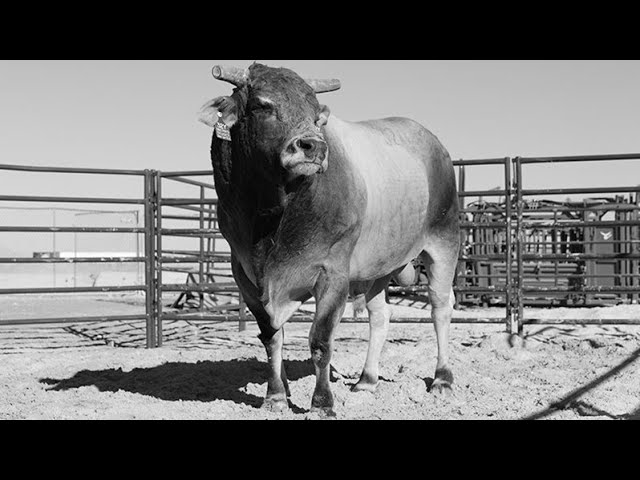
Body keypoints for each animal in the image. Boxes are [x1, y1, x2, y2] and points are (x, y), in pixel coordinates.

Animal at [198, 63, 460, 417]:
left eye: (317, 114)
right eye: (262, 105)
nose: (314, 146)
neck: (270, 216)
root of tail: (433, 143)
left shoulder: (333, 274)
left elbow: (320, 341)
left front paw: (322, 403)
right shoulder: (245, 276)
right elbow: (271, 338)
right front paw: (275, 396)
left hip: (444, 240)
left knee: (440, 307)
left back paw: (442, 378)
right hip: (377, 266)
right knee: (380, 316)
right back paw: (367, 380)